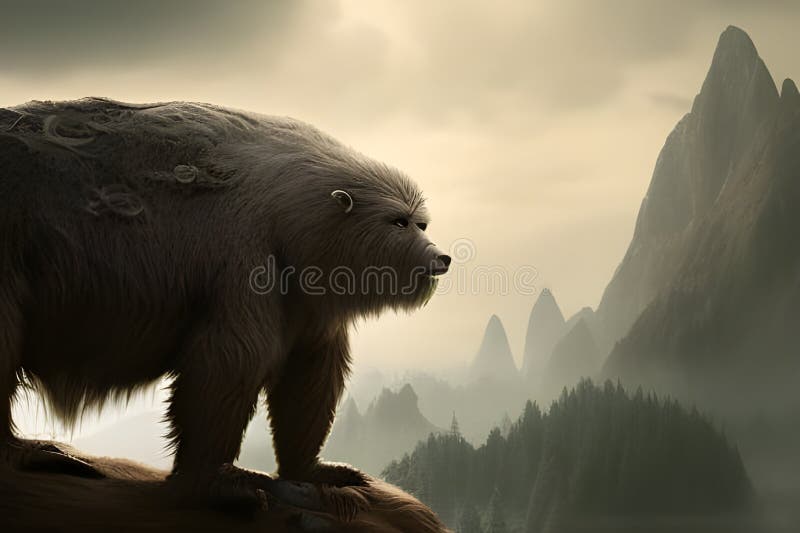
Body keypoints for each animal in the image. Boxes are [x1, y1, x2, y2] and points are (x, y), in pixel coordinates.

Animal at [0, 97, 450, 510]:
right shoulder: (245, 259)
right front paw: (226, 482)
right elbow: (227, 361)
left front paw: (325, 470)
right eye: (398, 221)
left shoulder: (305, 299)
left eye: (421, 222)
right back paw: (39, 453)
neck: (291, 217)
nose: (441, 258)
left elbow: (309, 377)